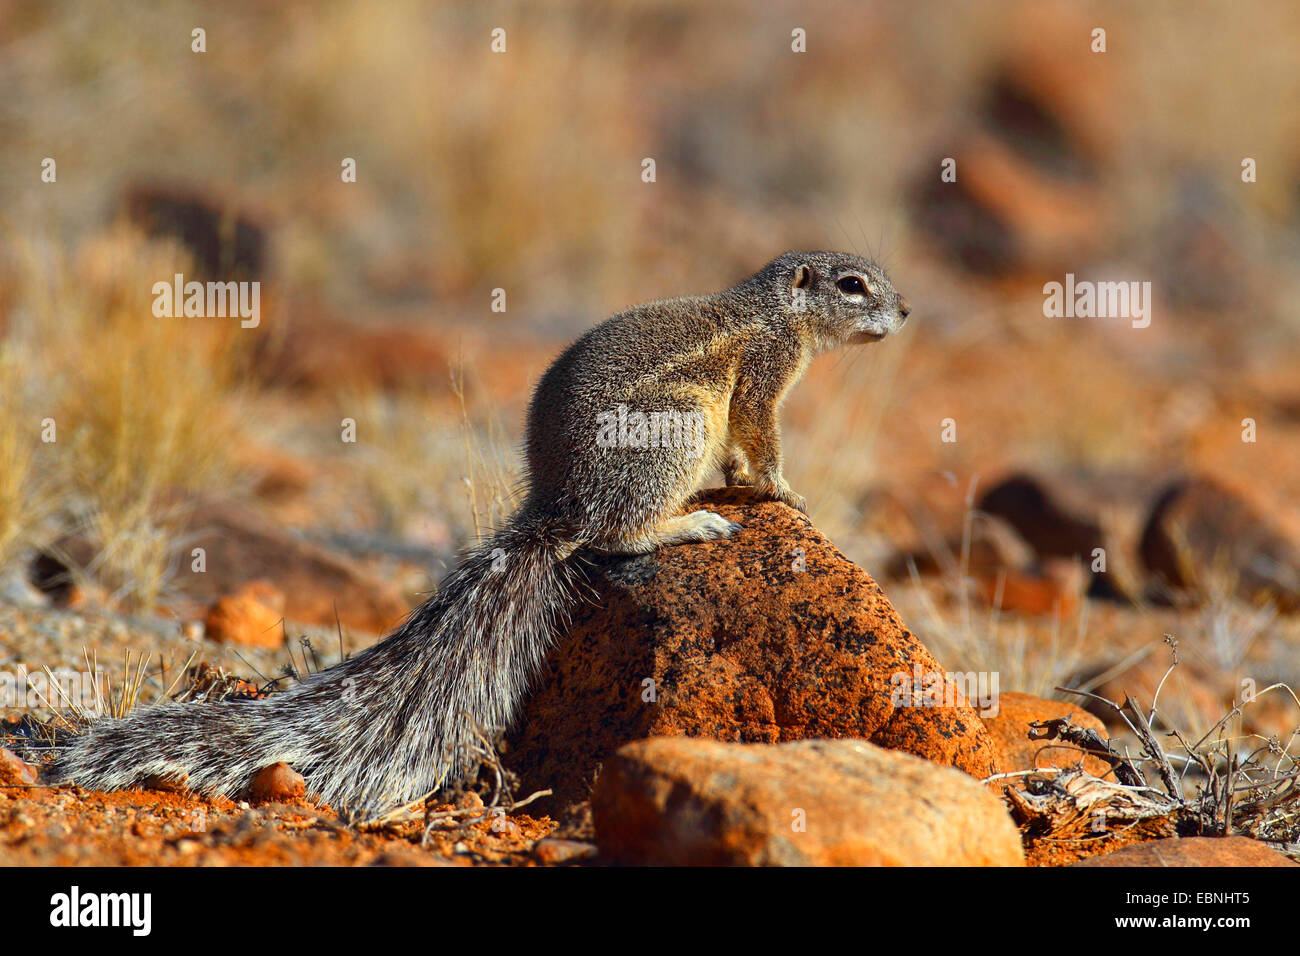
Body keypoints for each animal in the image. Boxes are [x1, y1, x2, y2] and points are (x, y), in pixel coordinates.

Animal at [45, 250, 910, 817]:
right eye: (853, 284)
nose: (905, 312)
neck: (774, 311)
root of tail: (555, 507)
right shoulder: (761, 377)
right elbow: (761, 442)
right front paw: (785, 491)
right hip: (674, 428)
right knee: (615, 534)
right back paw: (685, 522)